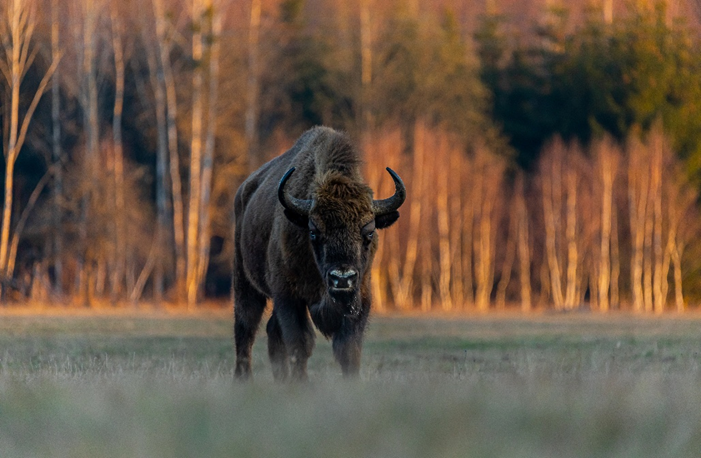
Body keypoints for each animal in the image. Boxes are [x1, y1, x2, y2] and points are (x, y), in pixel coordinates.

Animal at [233, 126, 406, 381]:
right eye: (314, 231)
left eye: (369, 232)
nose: (342, 278)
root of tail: (244, 190)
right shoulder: (289, 296)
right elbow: (299, 343)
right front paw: (301, 383)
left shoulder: (360, 298)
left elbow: (348, 349)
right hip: (245, 283)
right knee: (245, 327)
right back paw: (243, 379)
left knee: (271, 331)